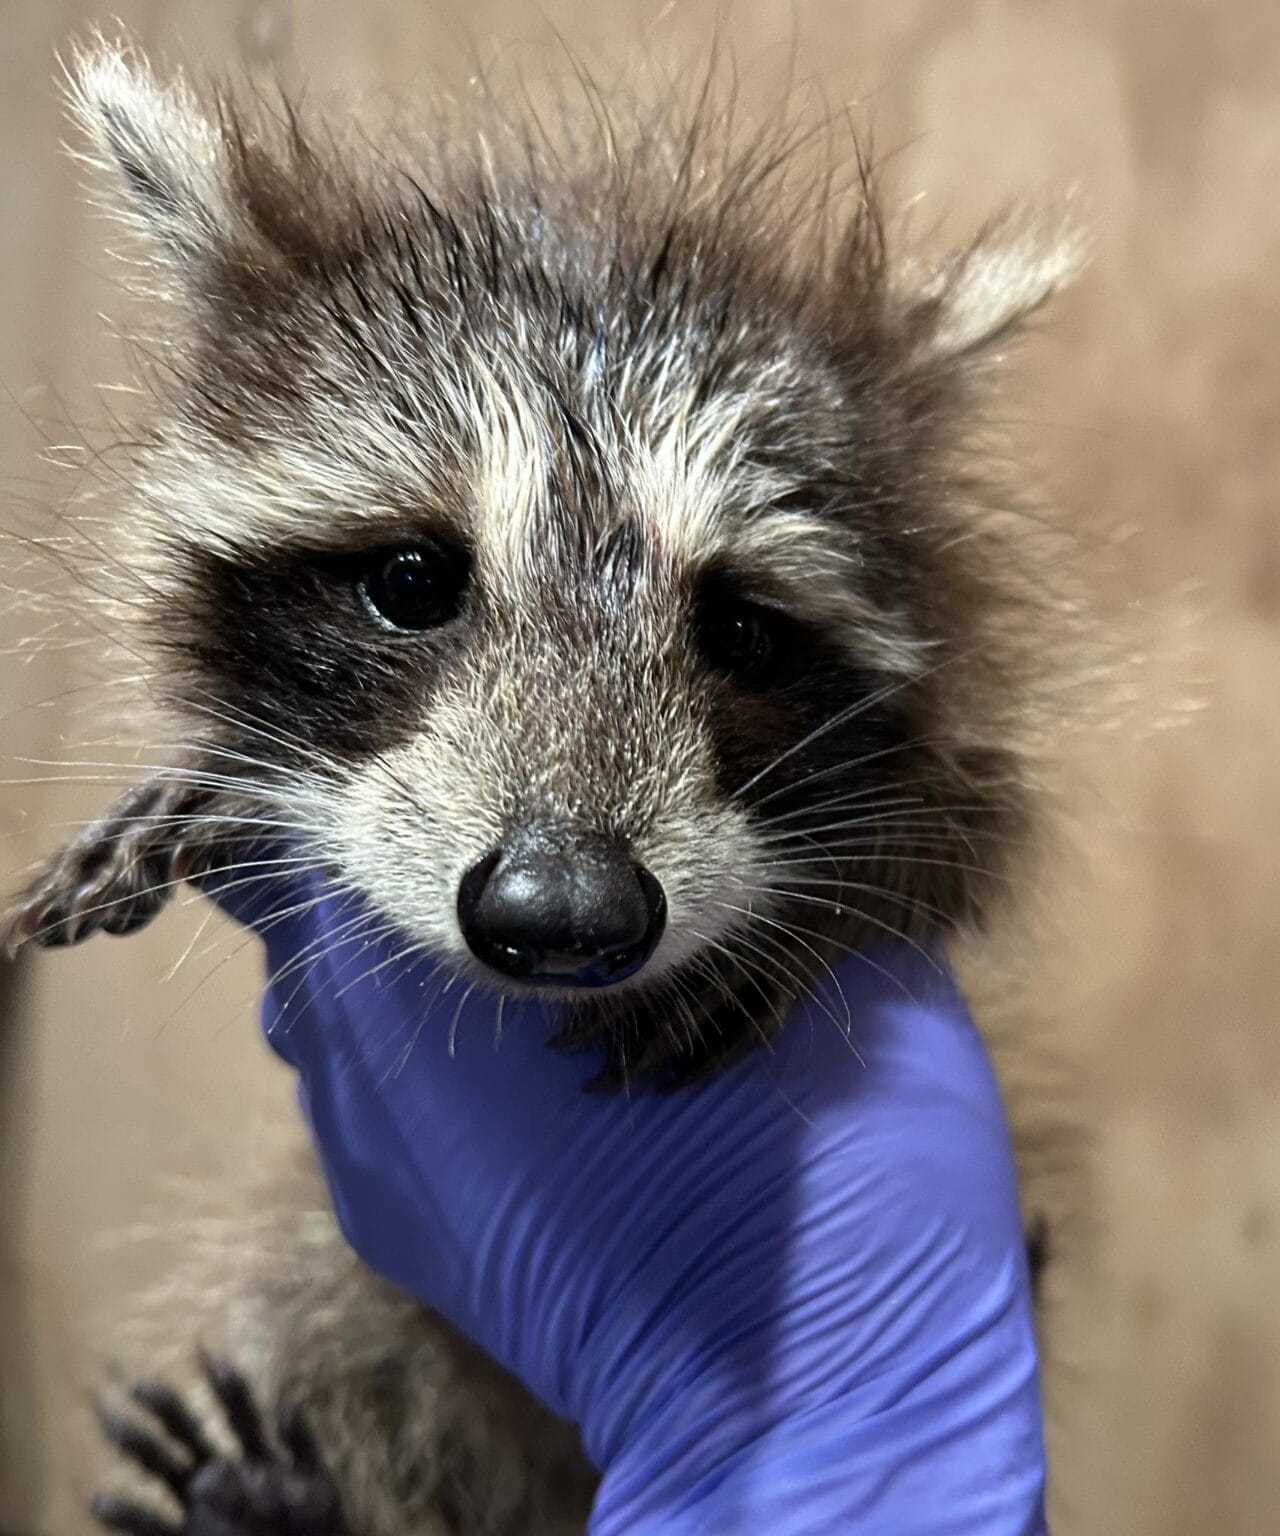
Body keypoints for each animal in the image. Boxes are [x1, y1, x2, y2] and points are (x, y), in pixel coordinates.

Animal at [5, 39, 1084, 1536]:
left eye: (740, 631)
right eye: (412, 581)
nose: (564, 911)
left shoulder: (969, 728)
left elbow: (961, 839)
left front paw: (804, 919)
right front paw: (201, 778)